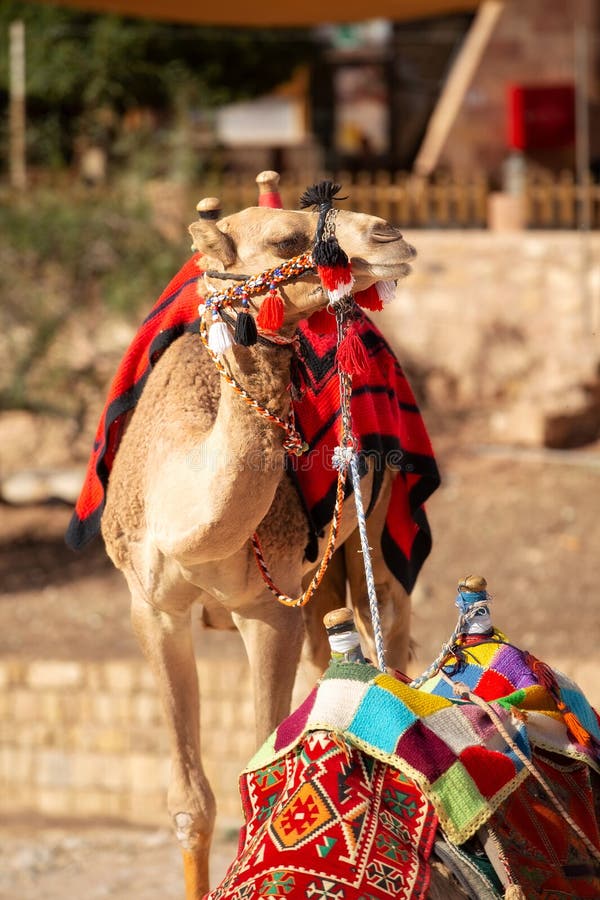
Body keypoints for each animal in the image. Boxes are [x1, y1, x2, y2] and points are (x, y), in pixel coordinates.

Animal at [99, 185, 422, 898]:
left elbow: (265, 765)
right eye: (283, 240)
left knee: (387, 629)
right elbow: (190, 803)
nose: (391, 236)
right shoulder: (151, 607)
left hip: (377, 521)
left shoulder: (266, 609)